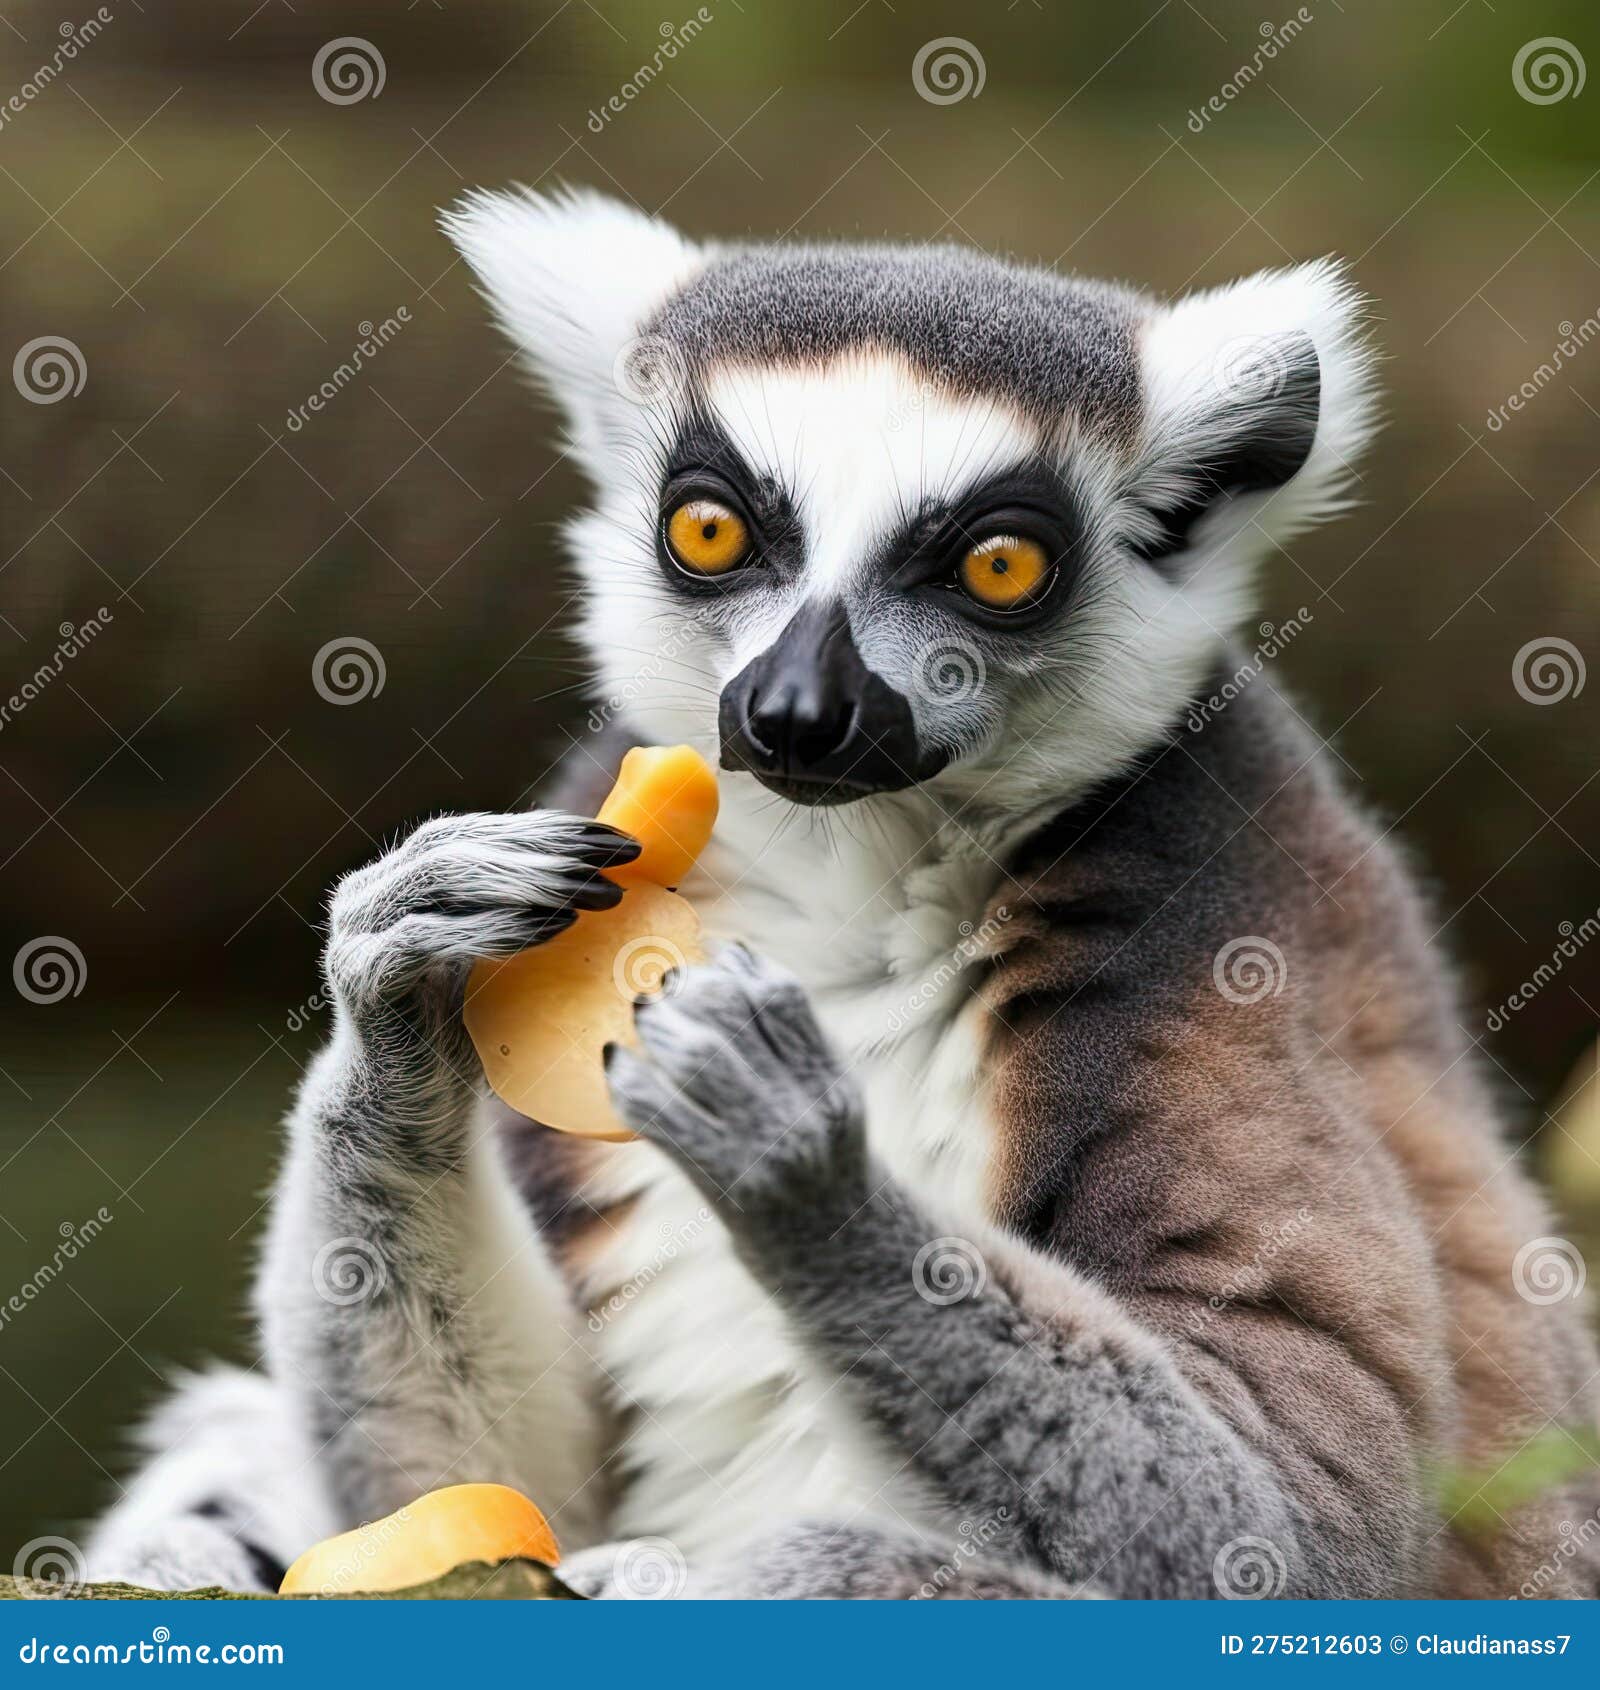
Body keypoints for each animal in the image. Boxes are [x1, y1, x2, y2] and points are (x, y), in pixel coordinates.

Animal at [85, 189, 1600, 1600]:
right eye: (709, 528)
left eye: (998, 564)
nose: (796, 711)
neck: (848, 878)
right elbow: (475, 1490)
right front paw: (403, 980)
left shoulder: (1218, 946)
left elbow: (1299, 1515)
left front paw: (799, 1162)